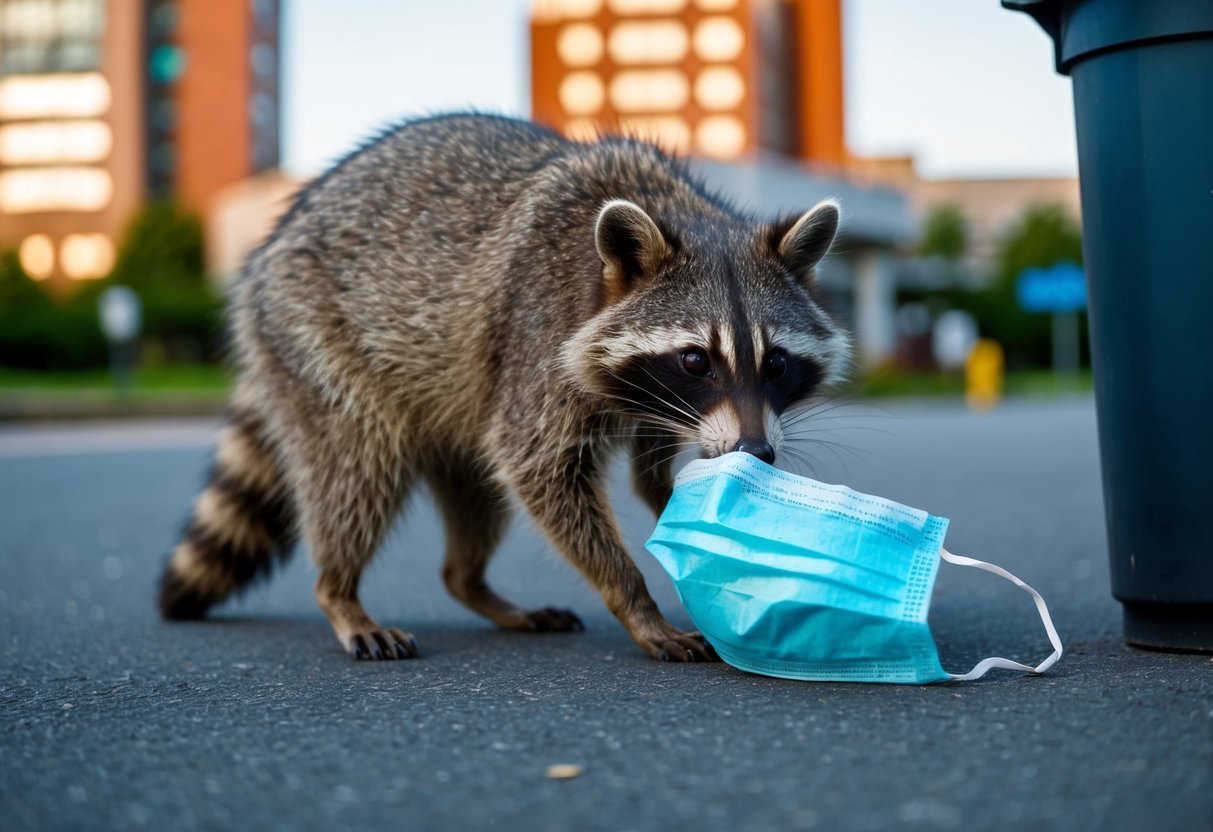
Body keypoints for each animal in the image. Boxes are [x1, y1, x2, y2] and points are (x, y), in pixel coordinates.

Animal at [159, 113, 850, 662]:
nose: (757, 453)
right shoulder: (539, 338)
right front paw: (635, 599)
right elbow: (536, 465)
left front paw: (694, 517)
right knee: (355, 471)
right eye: (695, 360)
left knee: (470, 493)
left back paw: (472, 583)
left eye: (777, 363)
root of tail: (271, 245)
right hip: (313, 338)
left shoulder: (660, 404)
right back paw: (339, 591)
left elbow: (650, 470)